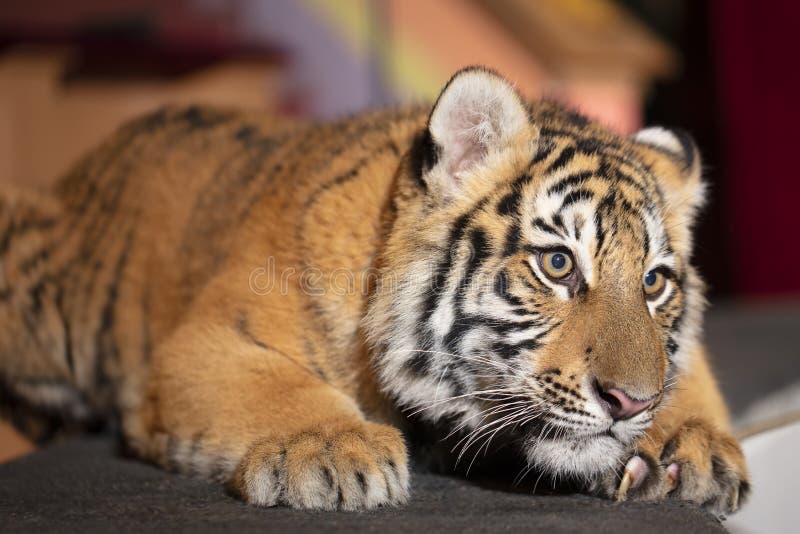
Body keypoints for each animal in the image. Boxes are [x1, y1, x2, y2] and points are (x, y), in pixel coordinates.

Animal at [0, 67, 748, 514]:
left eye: (653, 282)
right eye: (559, 265)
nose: (631, 404)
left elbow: (686, 365)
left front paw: (694, 443)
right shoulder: (204, 343)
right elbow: (276, 386)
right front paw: (333, 450)